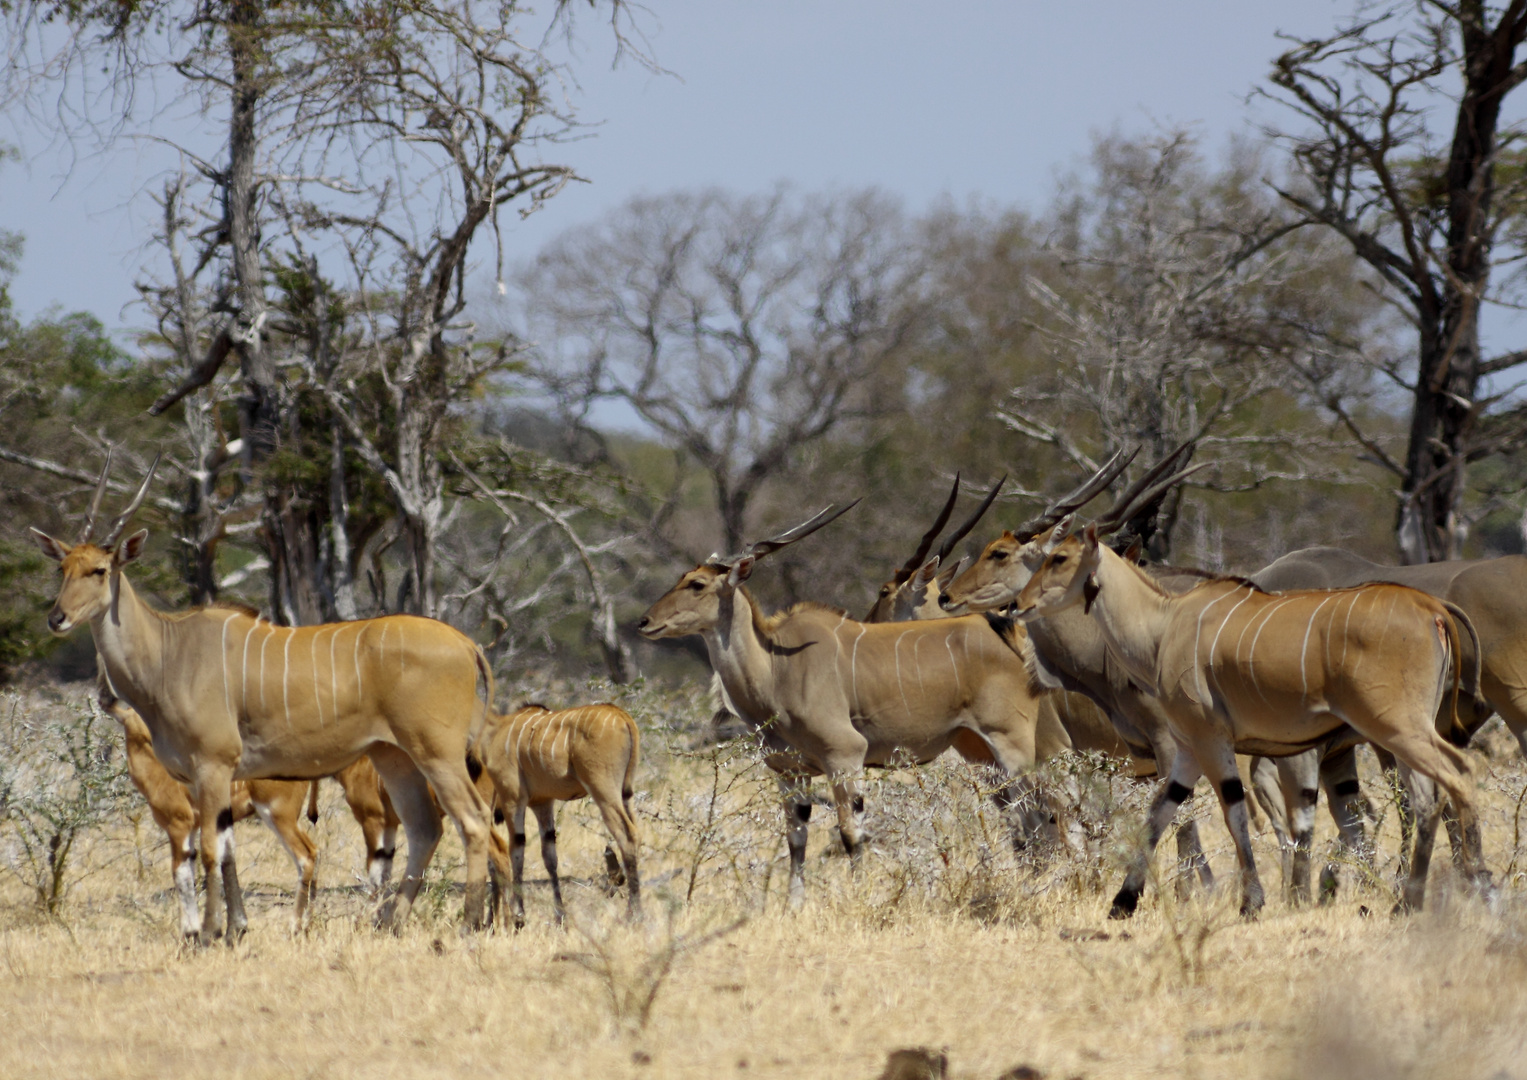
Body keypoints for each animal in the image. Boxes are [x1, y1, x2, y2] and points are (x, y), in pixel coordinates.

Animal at [31, 452, 506, 940]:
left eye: (99, 570)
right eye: (62, 569)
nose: (57, 618)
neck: (169, 652)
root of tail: (465, 643)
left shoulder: (213, 766)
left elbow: (209, 851)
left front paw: (208, 935)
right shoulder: (209, 778)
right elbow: (226, 851)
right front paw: (235, 930)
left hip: (436, 753)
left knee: (472, 821)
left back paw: (468, 924)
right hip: (394, 756)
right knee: (425, 828)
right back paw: (390, 923)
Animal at [476, 705, 644, 922]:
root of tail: (622, 716)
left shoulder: (512, 799)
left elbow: (516, 850)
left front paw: (519, 913)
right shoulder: (542, 803)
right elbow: (549, 856)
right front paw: (559, 914)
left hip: (604, 792)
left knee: (627, 835)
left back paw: (634, 913)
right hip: (626, 793)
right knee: (635, 834)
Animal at [1013, 528, 1490, 916]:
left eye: (1059, 558)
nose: (1018, 604)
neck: (1163, 625)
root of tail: (1431, 607)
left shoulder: (1210, 739)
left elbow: (1232, 813)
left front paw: (1251, 902)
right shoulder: (1187, 749)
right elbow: (1162, 811)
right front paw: (1123, 902)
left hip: (1398, 730)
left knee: (1459, 775)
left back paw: (1482, 888)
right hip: (1401, 736)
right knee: (1427, 800)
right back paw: (1407, 903)